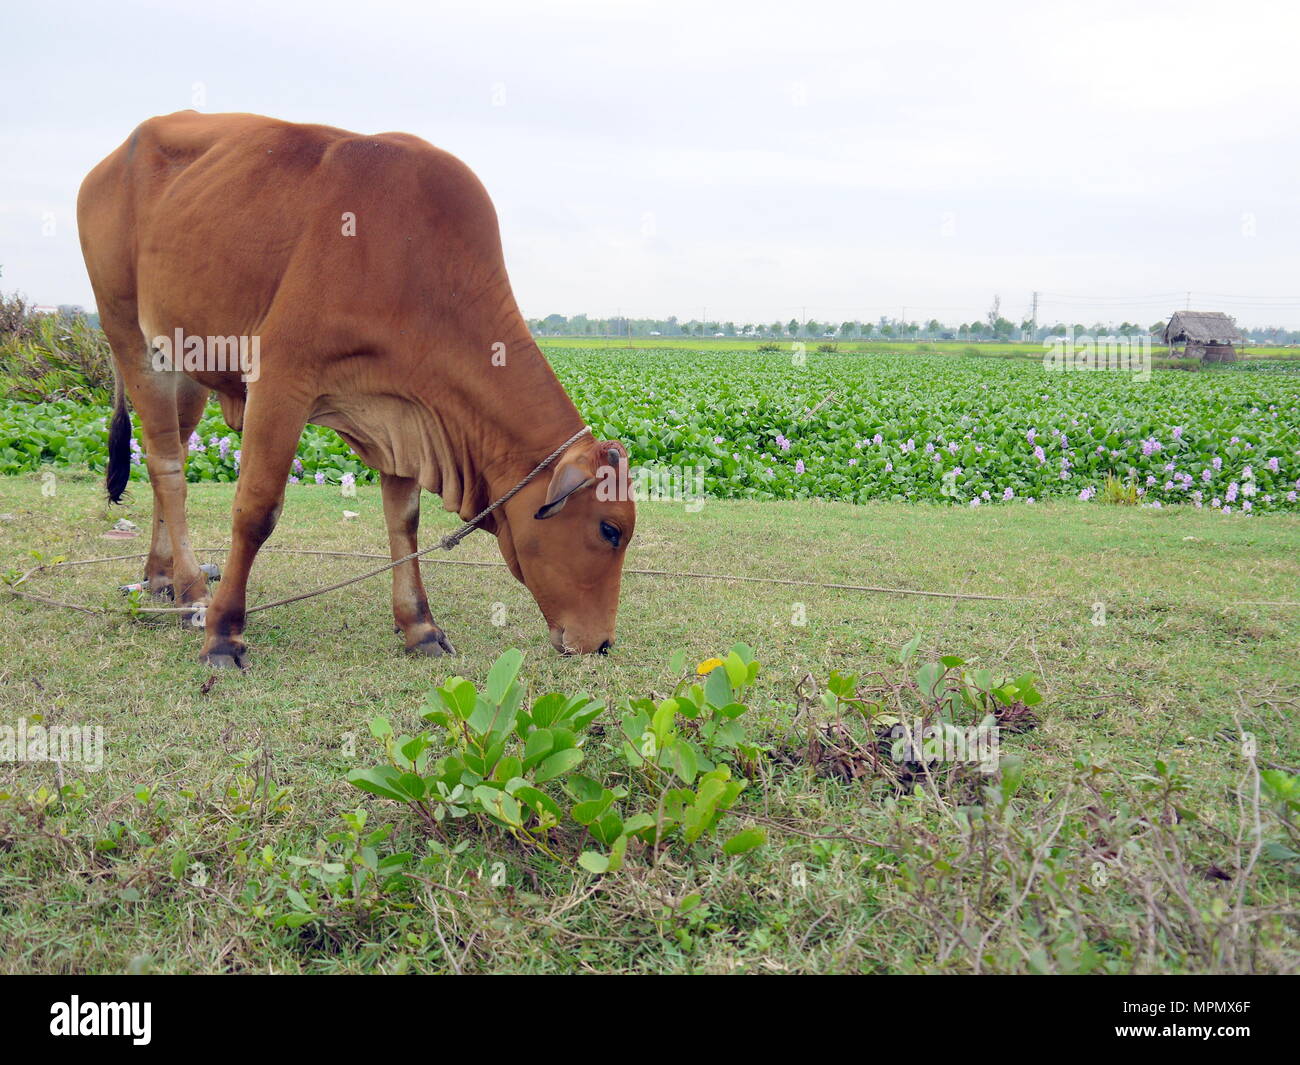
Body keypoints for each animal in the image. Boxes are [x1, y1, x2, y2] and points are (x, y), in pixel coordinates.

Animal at [76, 111, 635, 667]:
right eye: (610, 529)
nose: (602, 643)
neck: (419, 267)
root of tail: (112, 159)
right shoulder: (281, 377)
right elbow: (256, 511)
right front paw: (224, 633)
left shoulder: (403, 409)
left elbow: (404, 519)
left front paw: (420, 626)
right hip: (129, 335)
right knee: (167, 467)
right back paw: (193, 589)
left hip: (186, 365)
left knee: (165, 454)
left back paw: (160, 576)